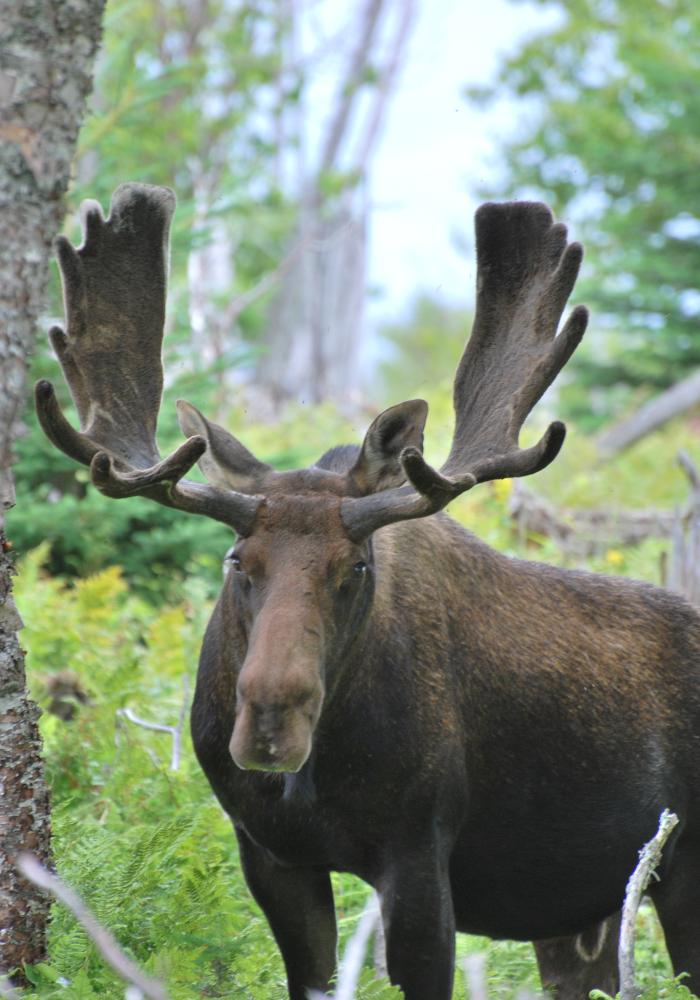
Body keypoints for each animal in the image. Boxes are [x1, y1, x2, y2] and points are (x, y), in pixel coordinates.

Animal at [36, 182, 700, 1000]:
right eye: (236, 560)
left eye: (356, 567)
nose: (271, 718)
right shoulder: (271, 855)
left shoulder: (417, 853)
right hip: (586, 912)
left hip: (681, 870)